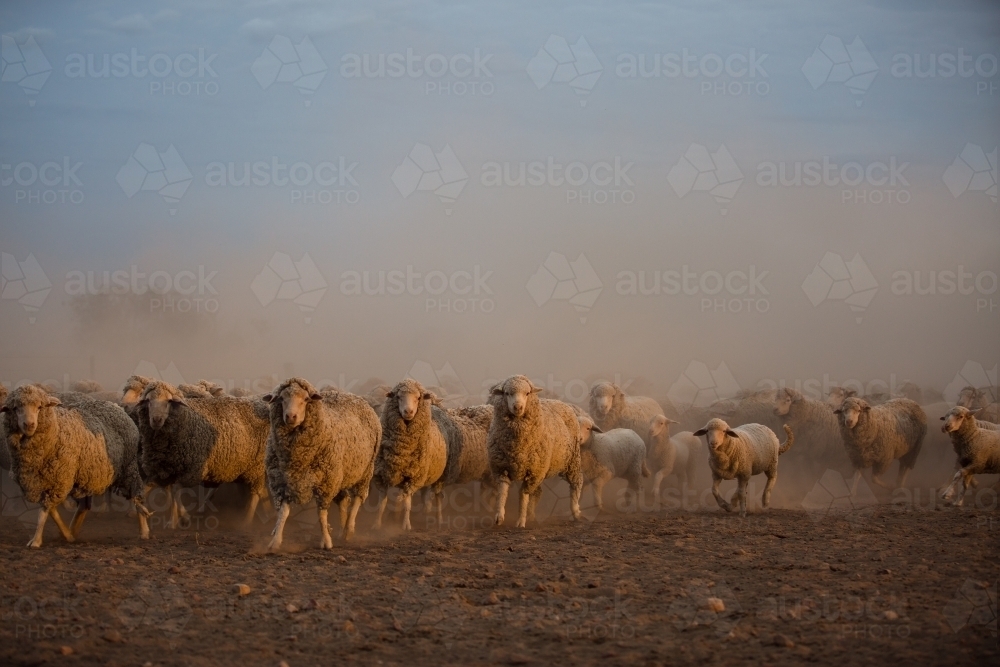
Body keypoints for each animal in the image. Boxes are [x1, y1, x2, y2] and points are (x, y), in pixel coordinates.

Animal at [1, 385, 149, 547]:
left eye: (39, 407)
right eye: (15, 408)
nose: (29, 425)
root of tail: (115, 406)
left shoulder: (60, 479)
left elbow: (44, 512)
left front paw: (36, 540)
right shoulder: (38, 482)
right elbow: (51, 510)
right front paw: (66, 534)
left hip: (128, 467)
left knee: (137, 496)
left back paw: (144, 530)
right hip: (87, 474)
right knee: (84, 506)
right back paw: (73, 530)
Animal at [135, 380, 270, 527]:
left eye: (169, 401)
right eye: (148, 401)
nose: (156, 419)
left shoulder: (192, 470)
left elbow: (175, 491)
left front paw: (183, 517)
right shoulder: (163, 470)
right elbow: (151, 490)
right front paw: (160, 519)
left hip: (257, 466)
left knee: (256, 493)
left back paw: (247, 522)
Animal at [263, 378, 380, 550]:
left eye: (306, 399)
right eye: (281, 398)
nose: (291, 416)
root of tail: (354, 396)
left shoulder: (326, 483)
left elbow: (321, 514)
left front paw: (326, 541)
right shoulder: (284, 482)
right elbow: (283, 513)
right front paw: (275, 541)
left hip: (365, 470)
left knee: (357, 499)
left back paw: (349, 528)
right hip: (342, 473)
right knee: (343, 501)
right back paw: (342, 530)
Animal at [488, 375, 583, 528]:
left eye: (527, 393)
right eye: (507, 393)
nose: (518, 407)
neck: (517, 446)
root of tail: (558, 401)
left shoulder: (533, 472)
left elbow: (523, 495)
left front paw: (521, 520)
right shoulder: (501, 468)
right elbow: (502, 492)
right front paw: (499, 516)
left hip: (572, 460)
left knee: (576, 484)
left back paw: (576, 512)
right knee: (538, 492)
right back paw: (531, 515)